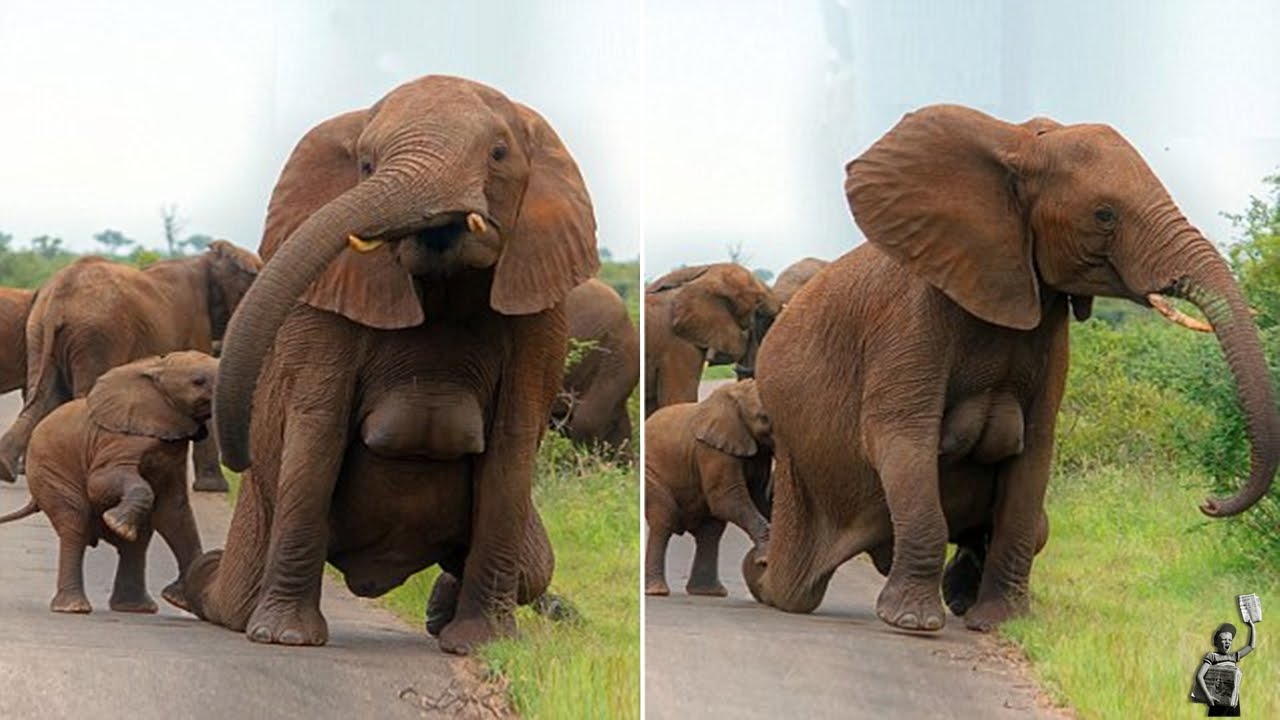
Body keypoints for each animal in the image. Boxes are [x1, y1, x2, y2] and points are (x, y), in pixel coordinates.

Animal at [0, 241, 261, 492]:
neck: (208, 260)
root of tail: (59, 296)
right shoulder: (196, 326)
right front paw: (214, 489)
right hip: (97, 334)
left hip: (38, 331)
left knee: (41, 398)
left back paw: (6, 469)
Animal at [0, 351, 217, 614]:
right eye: (198, 381)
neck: (156, 369)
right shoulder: (119, 439)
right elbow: (99, 483)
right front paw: (115, 522)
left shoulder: (173, 454)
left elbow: (173, 511)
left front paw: (178, 599)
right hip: (50, 474)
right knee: (74, 524)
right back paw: (74, 607)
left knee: (138, 541)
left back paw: (136, 607)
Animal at [182, 75, 599, 655]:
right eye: (365, 164)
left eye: (498, 153)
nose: (237, 458)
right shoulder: (328, 307)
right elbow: (317, 433)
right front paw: (284, 638)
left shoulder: (541, 317)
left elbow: (512, 447)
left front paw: (481, 646)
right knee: (232, 595)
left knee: (537, 565)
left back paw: (441, 612)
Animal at [645, 380, 772, 597]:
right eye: (763, 417)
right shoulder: (712, 450)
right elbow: (727, 498)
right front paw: (764, 558)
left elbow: (759, 498)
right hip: (651, 477)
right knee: (663, 518)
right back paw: (657, 591)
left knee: (711, 531)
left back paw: (709, 592)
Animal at [744, 105, 1278, 634]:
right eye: (1104, 215)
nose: (1210, 502)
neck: (1016, 148)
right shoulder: (910, 318)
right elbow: (902, 436)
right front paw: (912, 622)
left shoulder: (1050, 326)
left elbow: (1033, 459)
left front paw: (1000, 623)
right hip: (799, 464)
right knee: (795, 586)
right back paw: (767, 577)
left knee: (1035, 524)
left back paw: (960, 595)